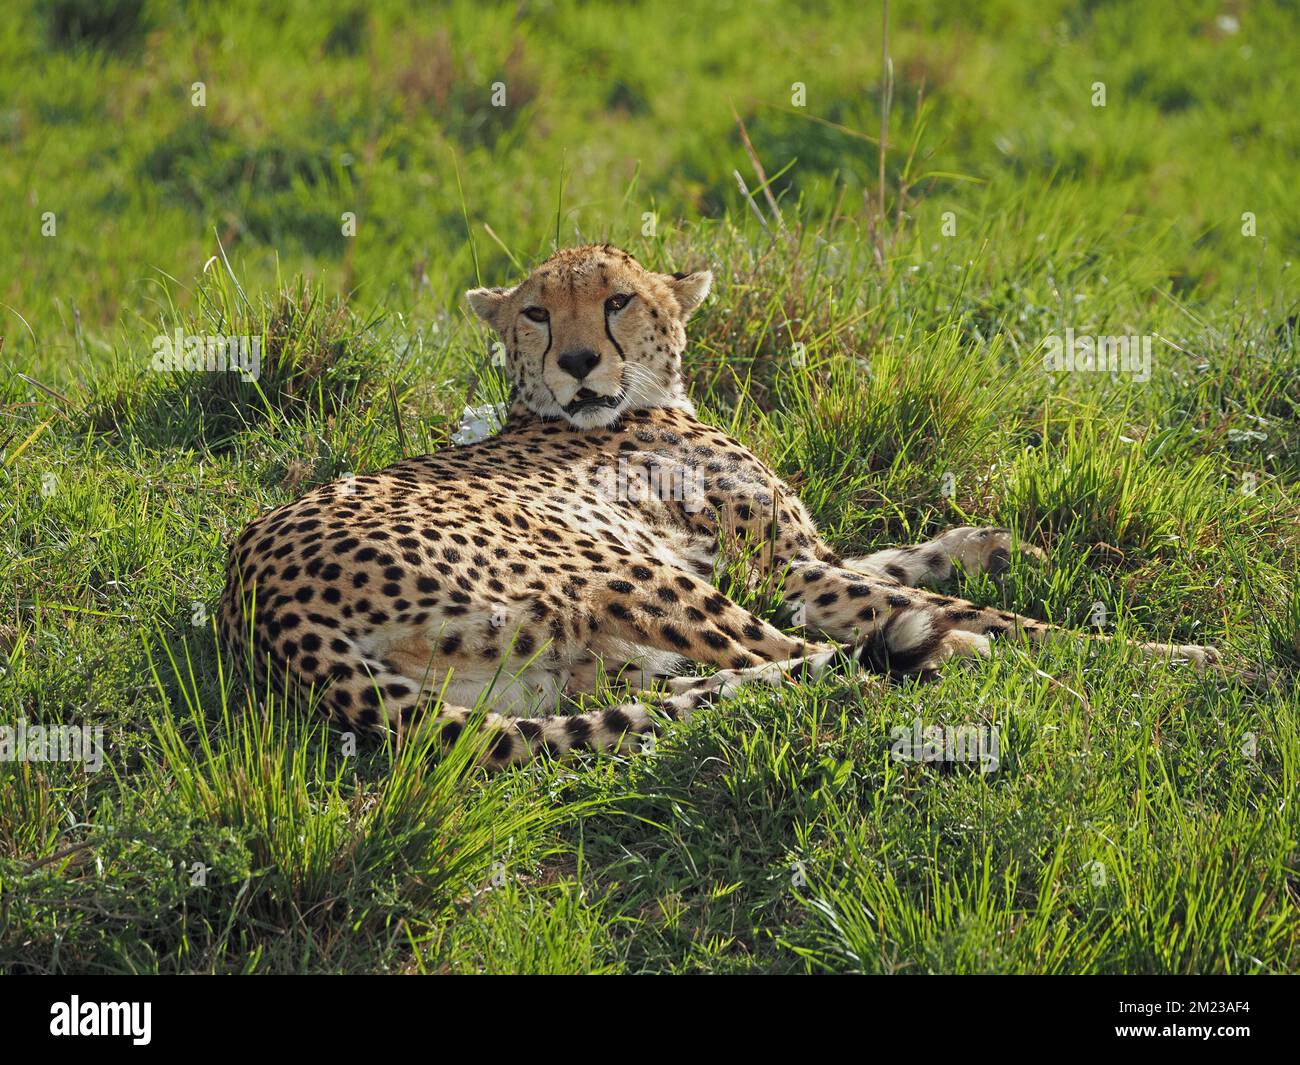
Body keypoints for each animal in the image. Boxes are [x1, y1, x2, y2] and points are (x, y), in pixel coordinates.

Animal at [218, 243, 1240, 770]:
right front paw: (1172, 661)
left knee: (705, 685)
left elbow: (906, 560)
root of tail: (253, 600)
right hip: (622, 571)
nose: (578, 362)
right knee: (812, 656)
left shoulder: (801, 560)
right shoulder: (789, 578)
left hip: (560, 668)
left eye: (618, 301)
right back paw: (1012, 685)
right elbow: (981, 613)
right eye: (537, 315)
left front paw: (995, 544)